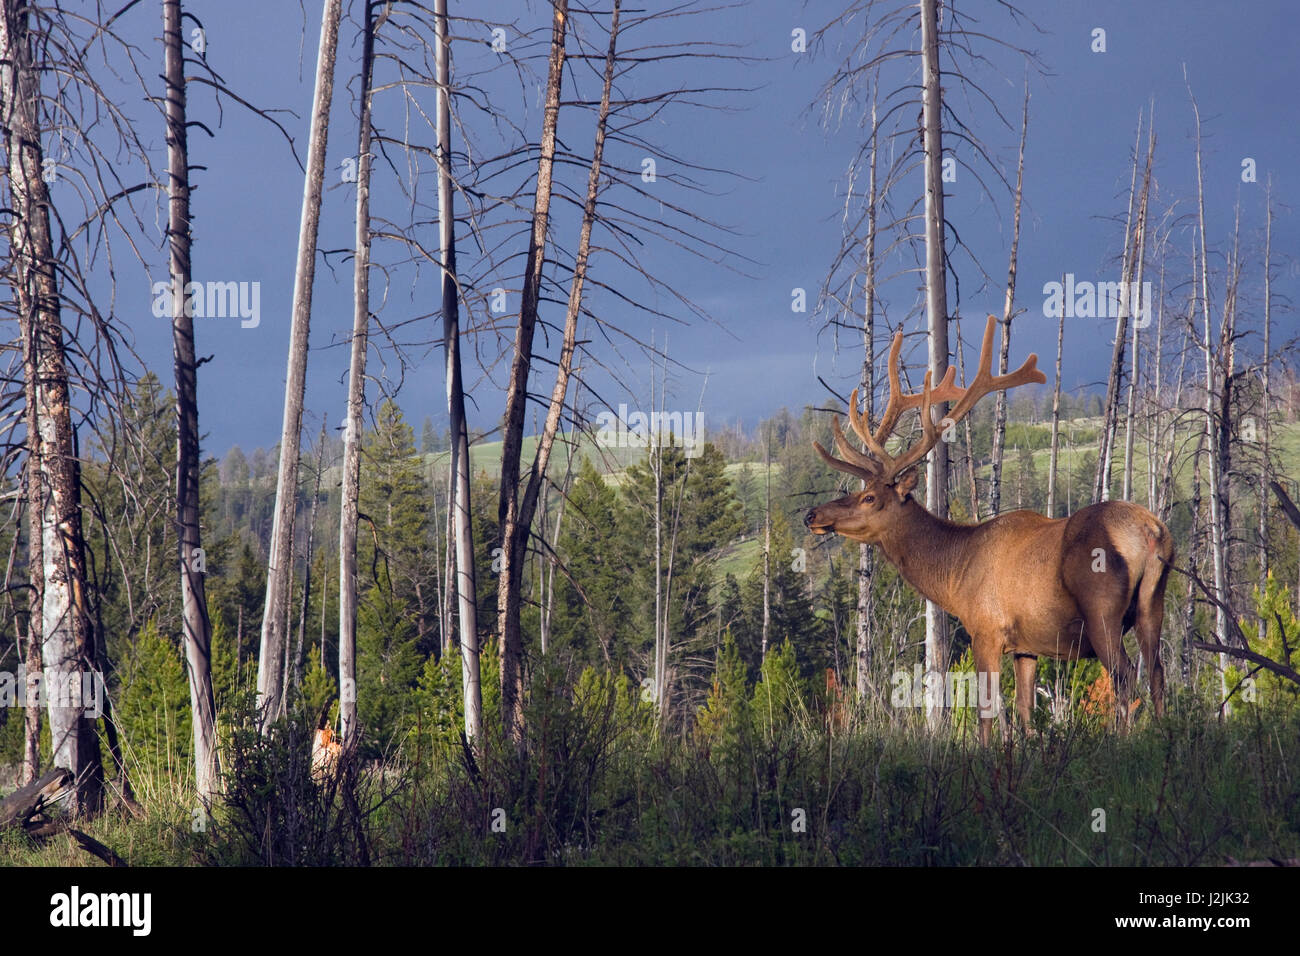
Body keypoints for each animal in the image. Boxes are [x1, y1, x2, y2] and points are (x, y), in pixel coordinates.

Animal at [805, 315, 1173, 744]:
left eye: (869, 497)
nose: (812, 515)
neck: (954, 576)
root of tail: (1151, 531)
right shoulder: (1027, 645)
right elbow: (1026, 710)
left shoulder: (985, 629)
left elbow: (986, 710)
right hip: (1153, 602)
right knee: (1157, 673)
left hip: (1102, 610)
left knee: (1126, 676)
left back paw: (1123, 738)